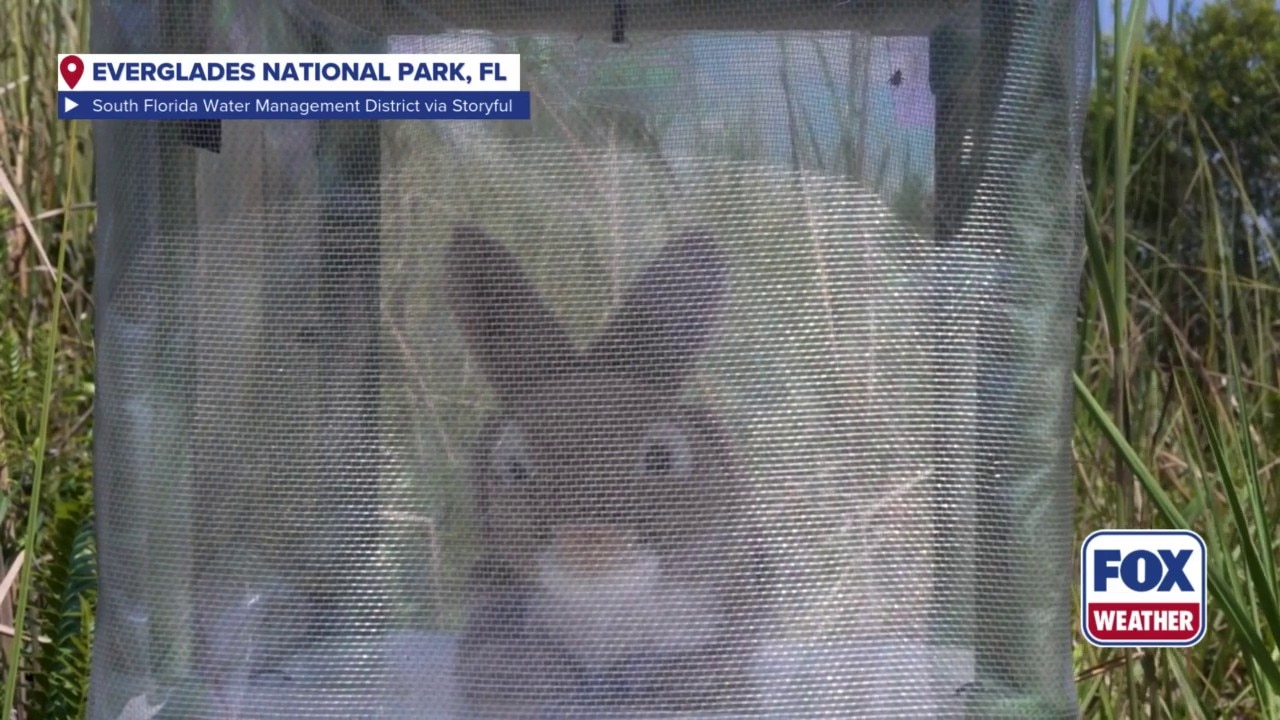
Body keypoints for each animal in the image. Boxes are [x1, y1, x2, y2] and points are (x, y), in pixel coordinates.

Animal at [444, 225, 775, 719]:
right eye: (516, 470)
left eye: (660, 460)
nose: (590, 541)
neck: (603, 598)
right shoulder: (498, 618)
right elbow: (497, 667)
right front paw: (556, 685)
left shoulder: (718, 620)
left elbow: (704, 670)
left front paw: (656, 695)